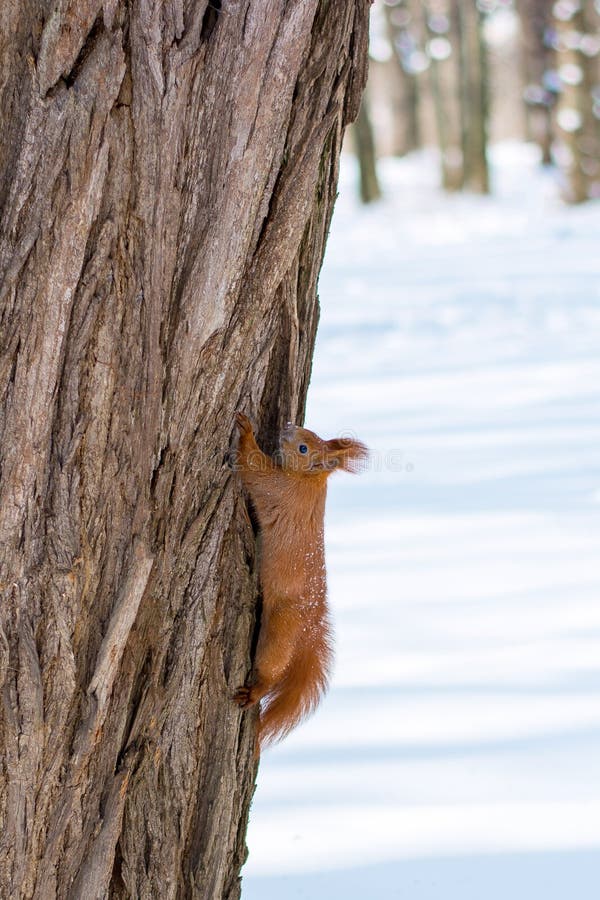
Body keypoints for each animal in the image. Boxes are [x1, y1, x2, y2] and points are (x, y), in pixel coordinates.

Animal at [233, 411, 368, 749]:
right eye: (307, 431)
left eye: (304, 448)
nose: (287, 427)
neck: (310, 481)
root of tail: (311, 624)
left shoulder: (280, 489)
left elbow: (256, 469)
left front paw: (246, 433)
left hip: (282, 626)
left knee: (272, 666)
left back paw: (254, 691)